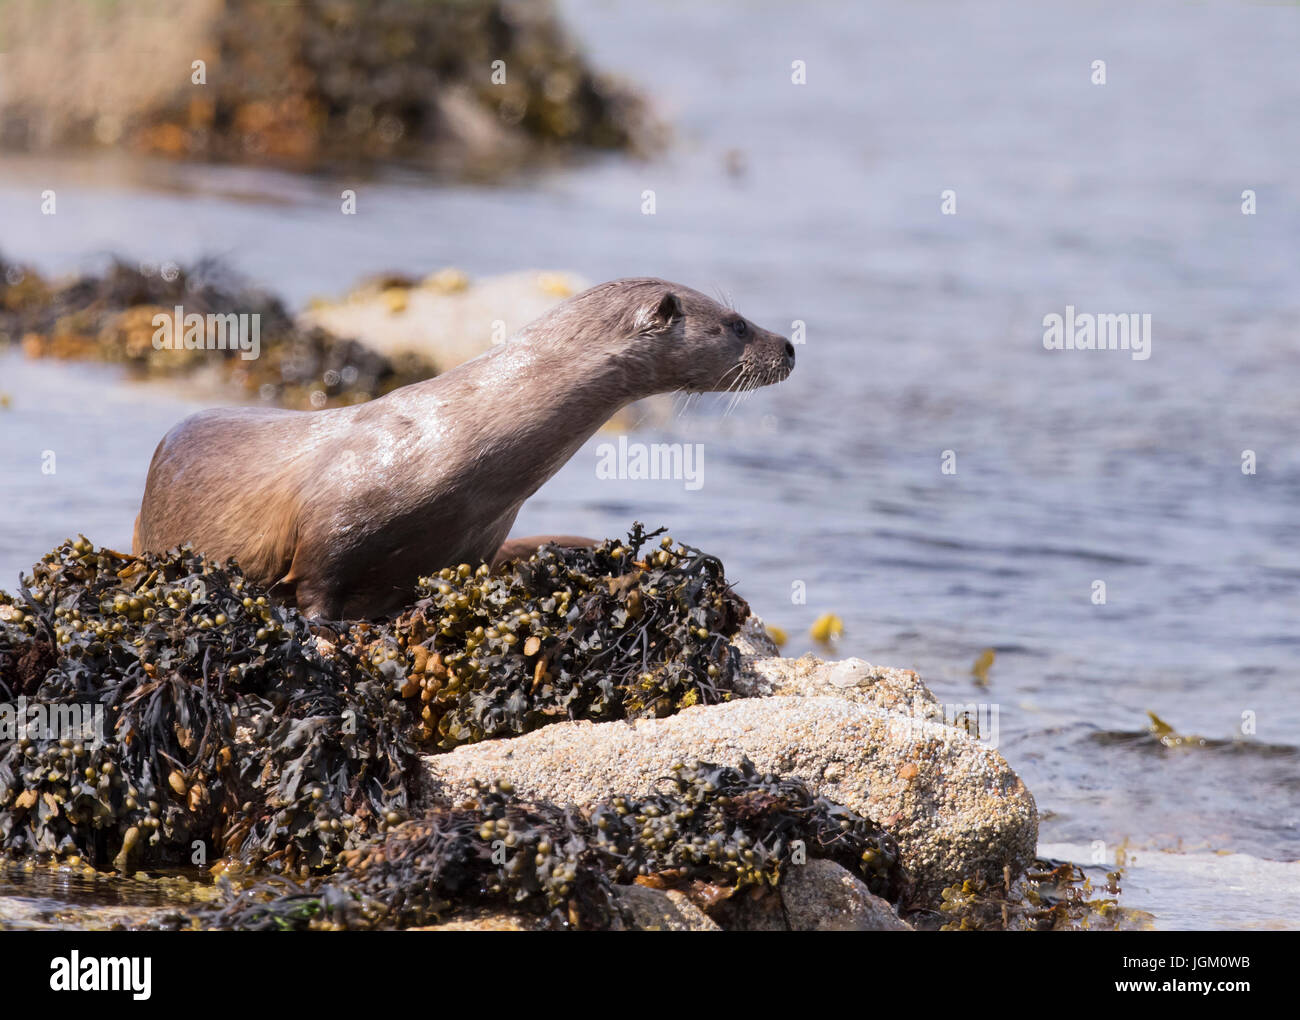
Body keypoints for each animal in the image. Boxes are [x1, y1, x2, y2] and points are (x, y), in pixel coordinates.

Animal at [133, 278, 794, 619]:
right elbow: (316, 589)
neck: (459, 439)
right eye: (737, 324)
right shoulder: (330, 530)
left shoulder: (471, 547)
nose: (789, 345)